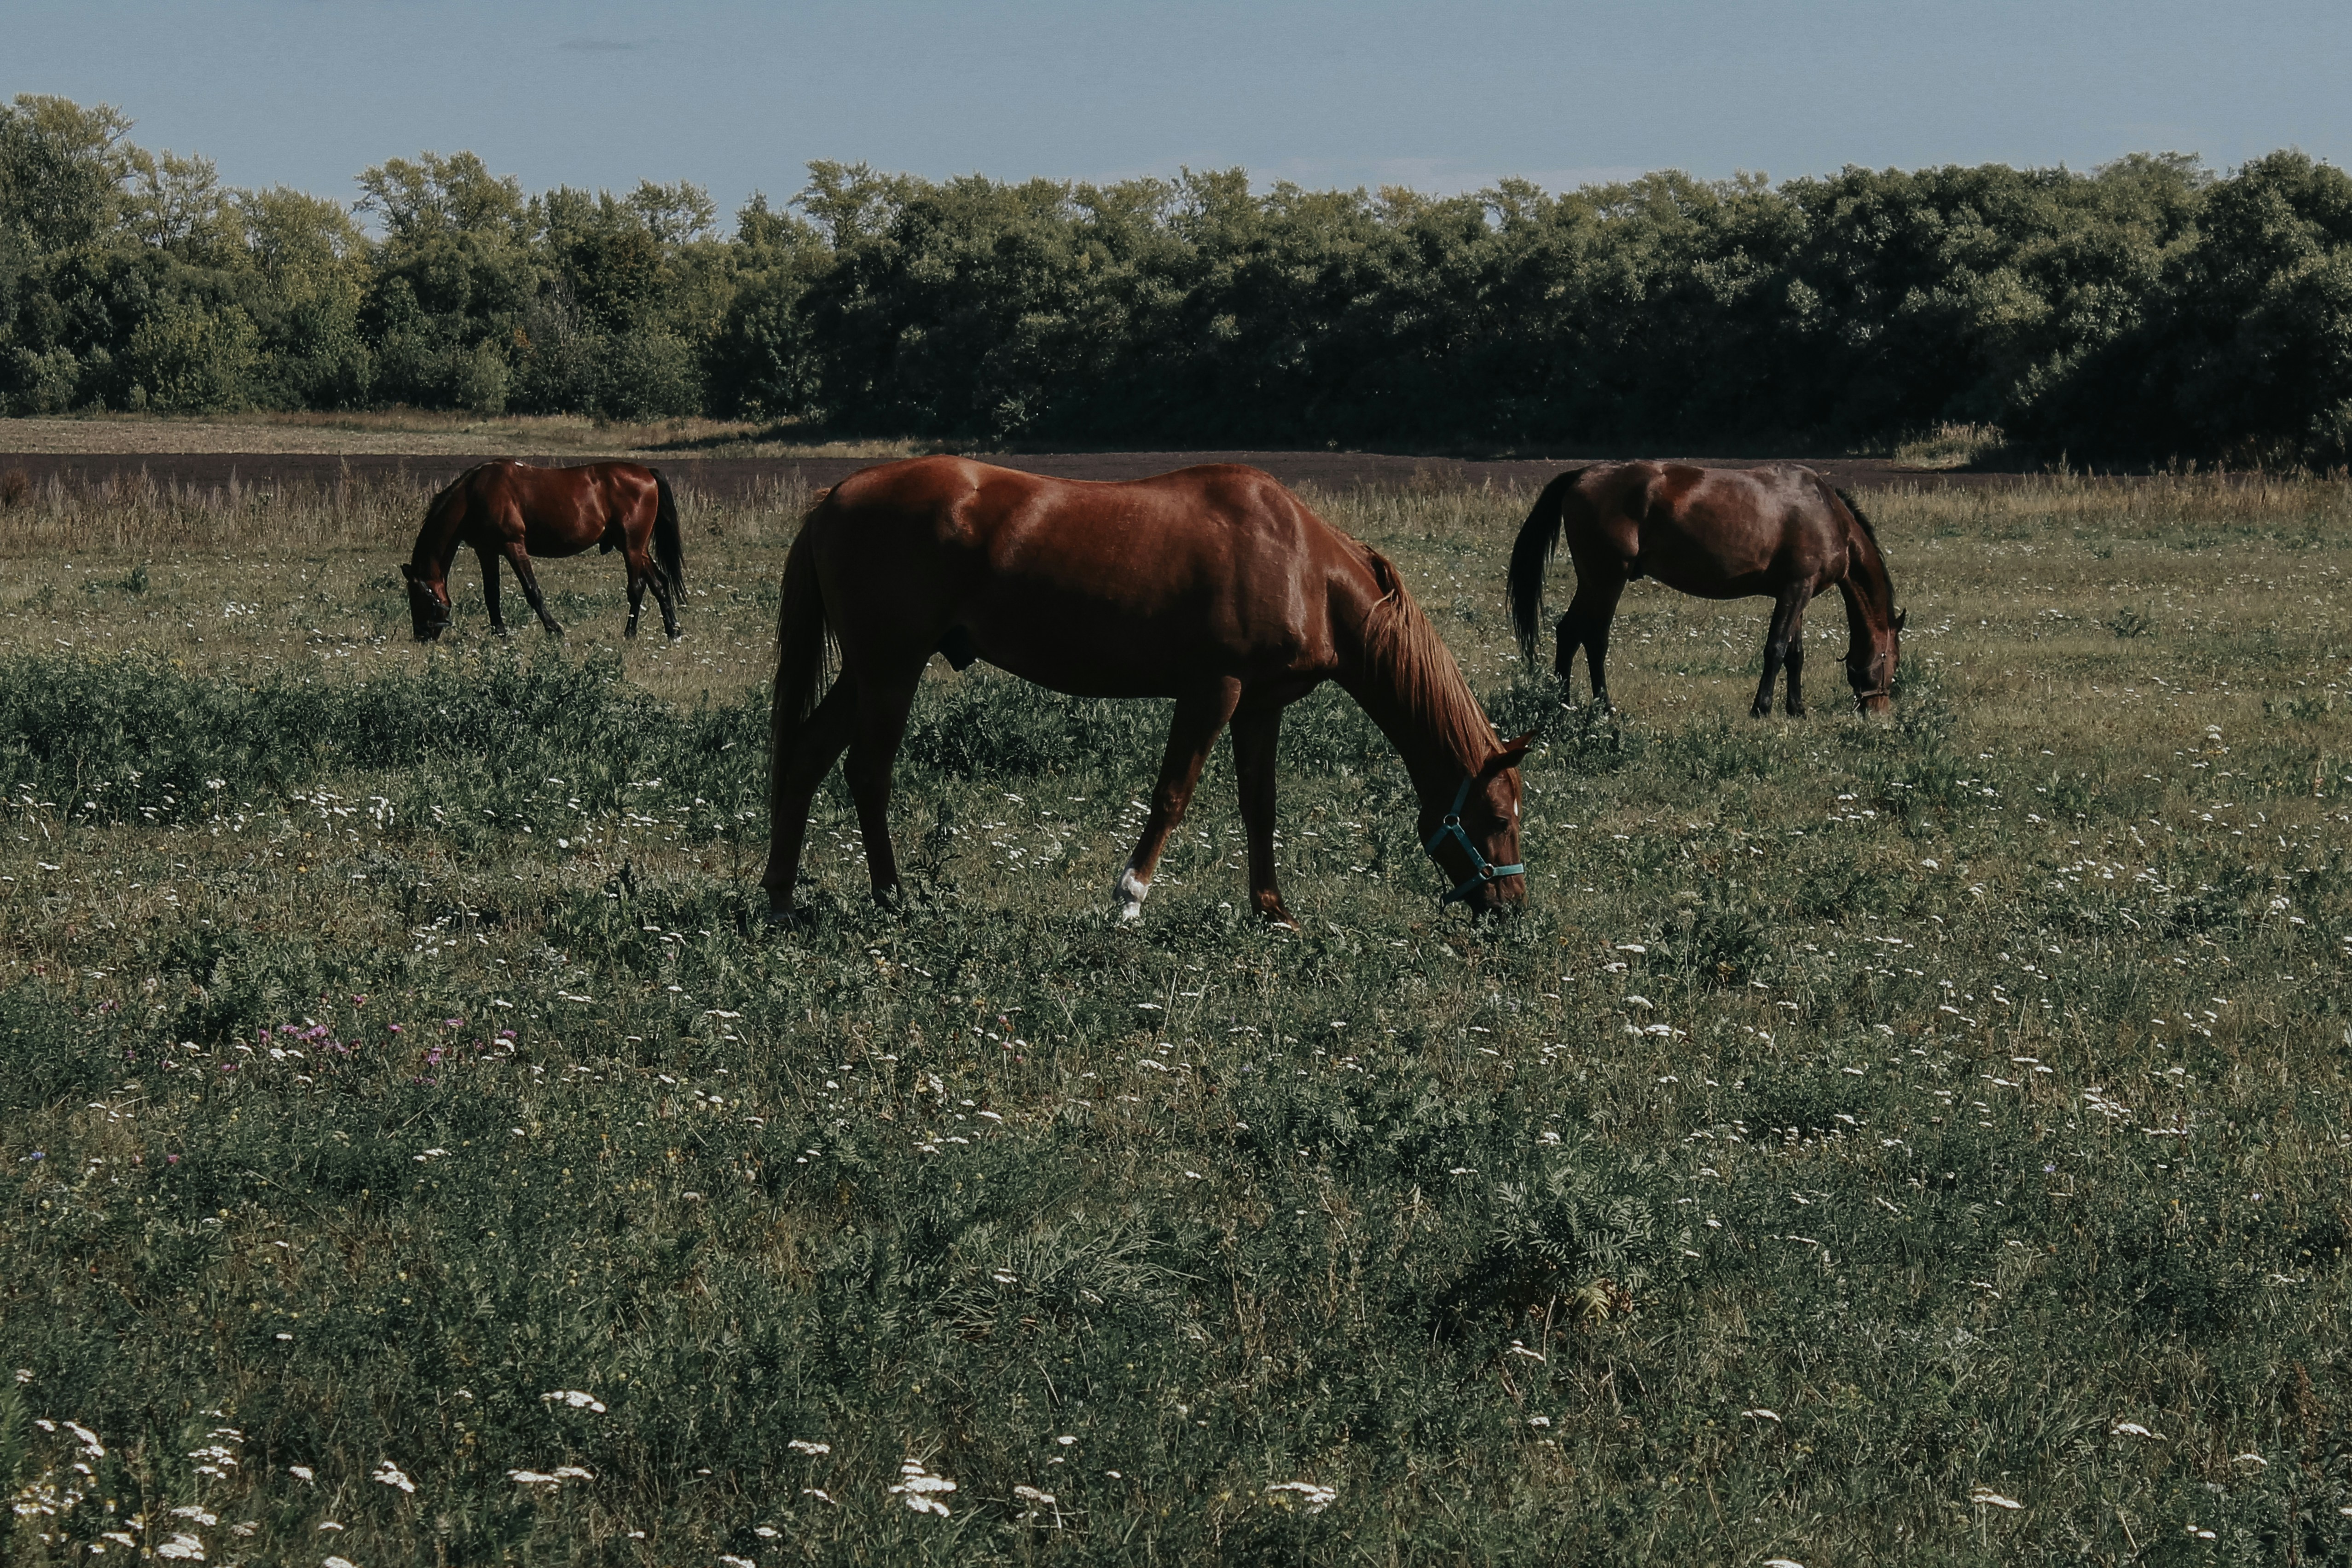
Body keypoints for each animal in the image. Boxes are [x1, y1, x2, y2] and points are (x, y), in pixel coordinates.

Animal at [400, 459, 685, 641]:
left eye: (418, 597)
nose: (421, 636)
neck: (474, 495)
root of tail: (647, 472)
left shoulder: (513, 546)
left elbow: (532, 591)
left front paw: (554, 629)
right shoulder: (487, 551)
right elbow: (492, 594)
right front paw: (500, 633)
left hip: (631, 547)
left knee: (637, 588)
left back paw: (630, 633)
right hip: (638, 548)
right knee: (660, 583)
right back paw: (673, 631)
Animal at [761, 456, 1532, 926]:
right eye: (1496, 815)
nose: (1512, 904)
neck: (1302, 564)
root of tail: (833, 499)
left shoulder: (1259, 705)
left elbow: (1260, 806)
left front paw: (1272, 909)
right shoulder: (1213, 690)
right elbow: (1172, 795)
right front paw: (1128, 897)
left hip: (866, 674)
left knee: (805, 758)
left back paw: (779, 896)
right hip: (890, 670)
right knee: (867, 772)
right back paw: (892, 897)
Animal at [1506, 462, 1904, 718]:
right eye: (1893, 661)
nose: (1879, 711)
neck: (1825, 512)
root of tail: (1583, 475)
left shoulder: (1797, 594)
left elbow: (1795, 655)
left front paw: (1797, 709)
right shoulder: (1795, 591)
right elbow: (1775, 649)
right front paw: (1761, 708)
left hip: (1594, 582)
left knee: (1568, 633)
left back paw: (1564, 704)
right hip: (1606, 580)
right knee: (1592, 638)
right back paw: (1603, 707)